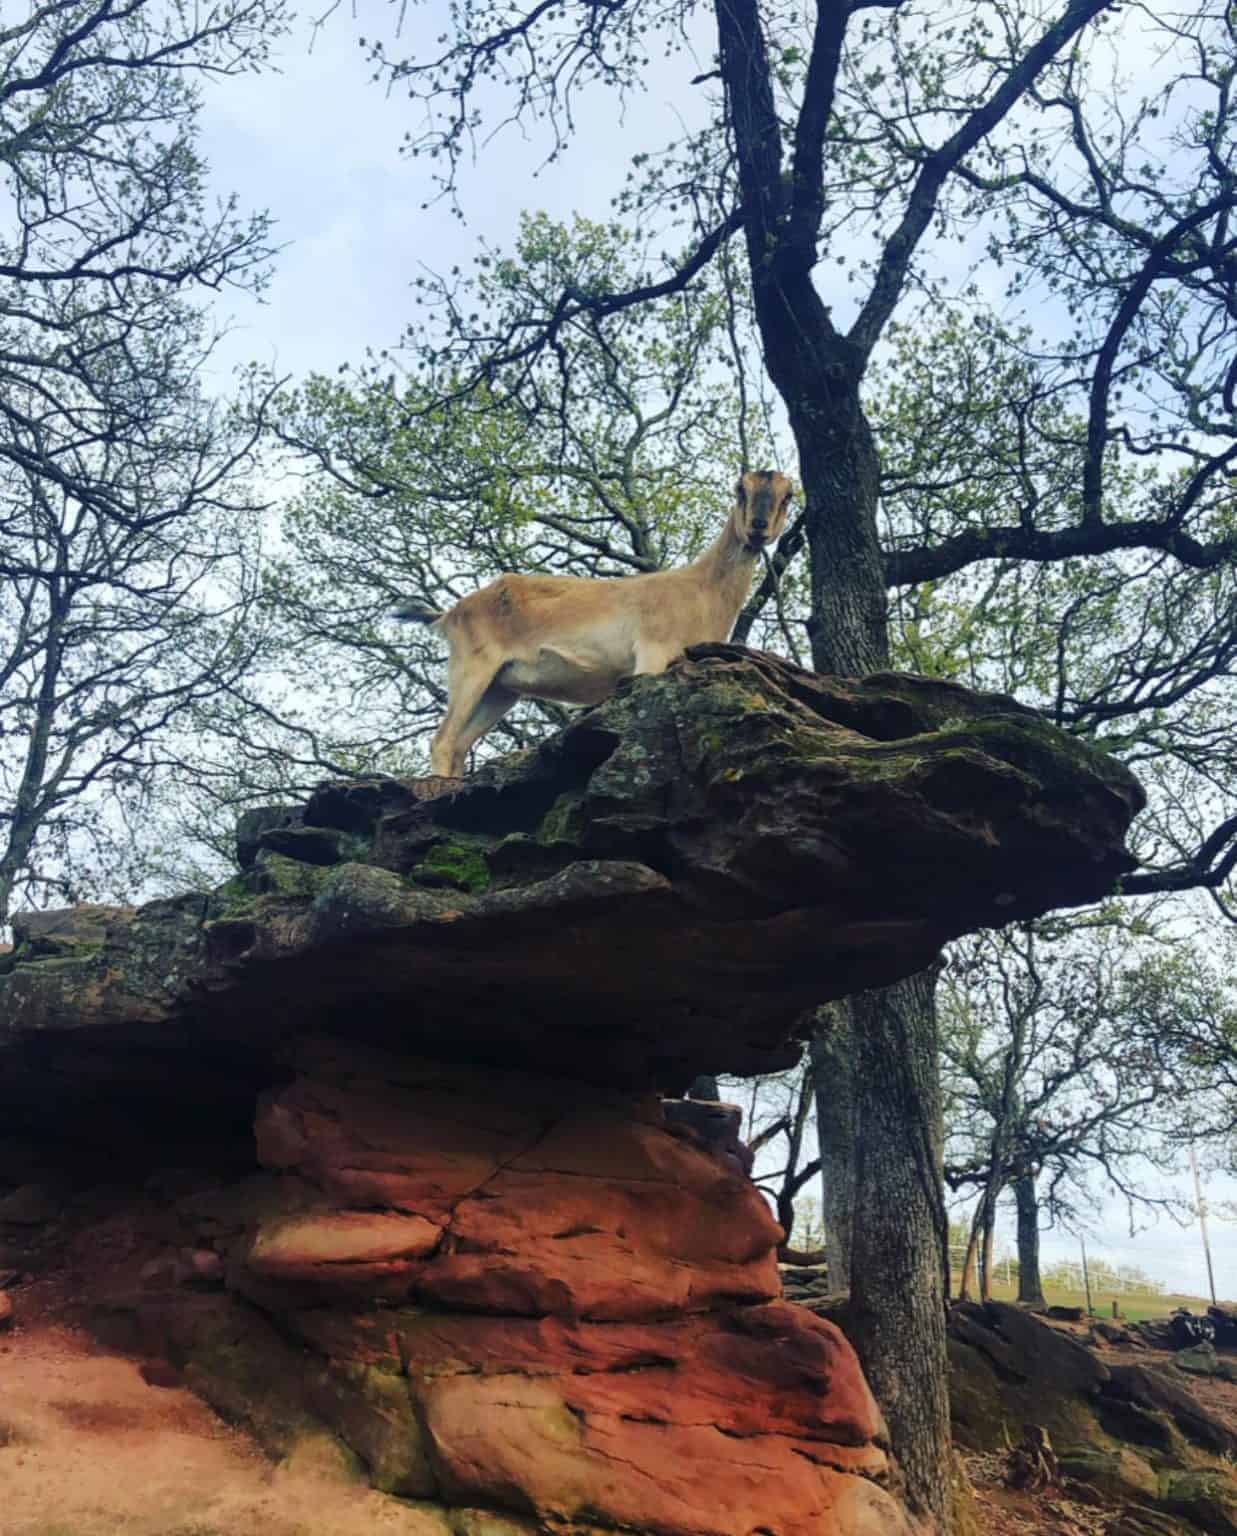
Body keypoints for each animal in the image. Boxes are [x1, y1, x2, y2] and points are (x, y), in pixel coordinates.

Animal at [395, 469, 795, 777]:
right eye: (740, 489)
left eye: (787, 496)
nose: (758, 528)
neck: (700, 591)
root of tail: (450, 614)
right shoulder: (651, 653)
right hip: (472, 666)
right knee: (443, 740)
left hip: (501, 688)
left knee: (460, 745)